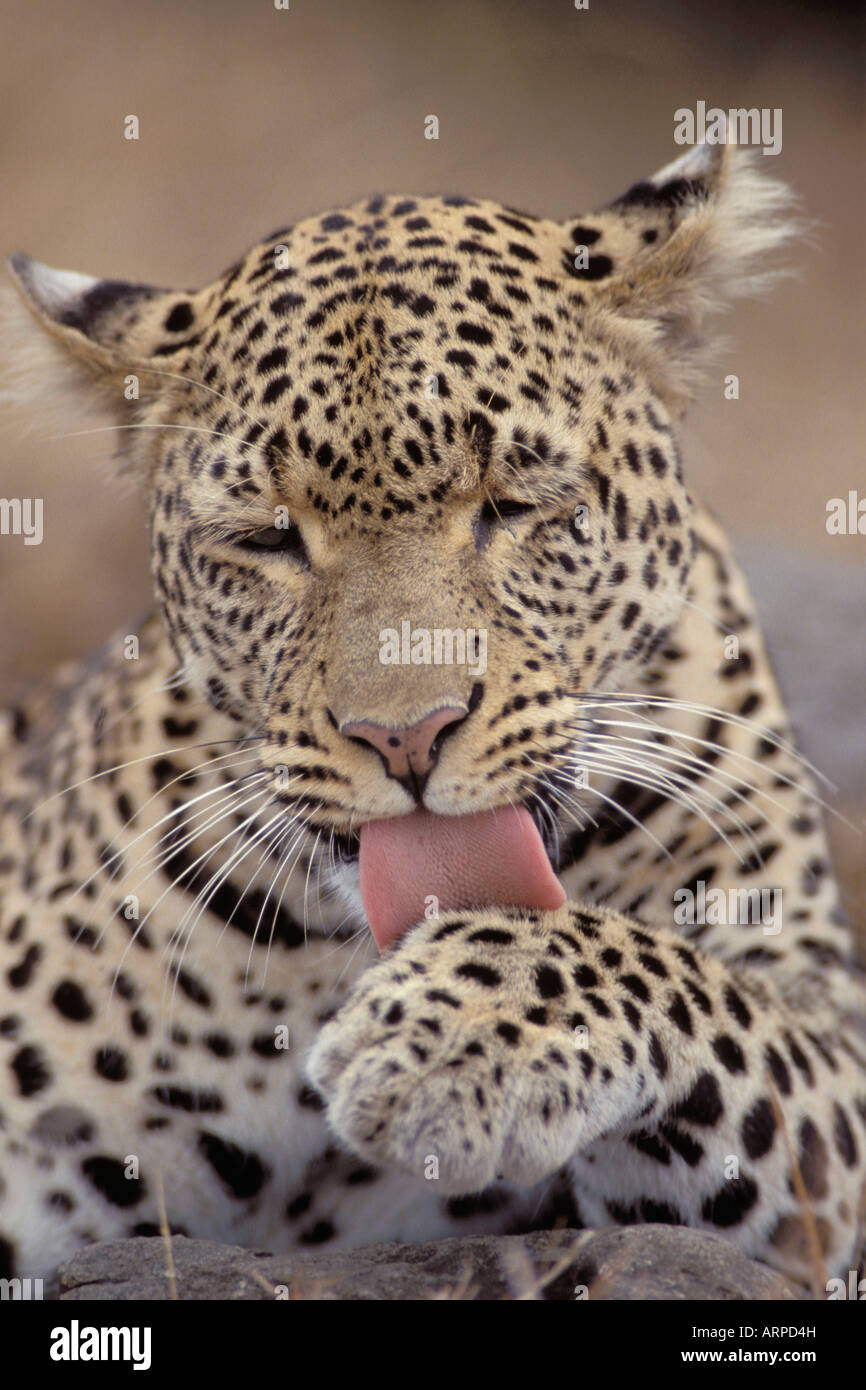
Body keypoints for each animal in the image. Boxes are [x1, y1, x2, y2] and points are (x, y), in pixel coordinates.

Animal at [1, 140, 864, 1294]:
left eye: (512, 503)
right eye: (270, 536)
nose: (403, 736)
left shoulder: (823, 1098)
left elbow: (669, 971)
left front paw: (451, 1038)